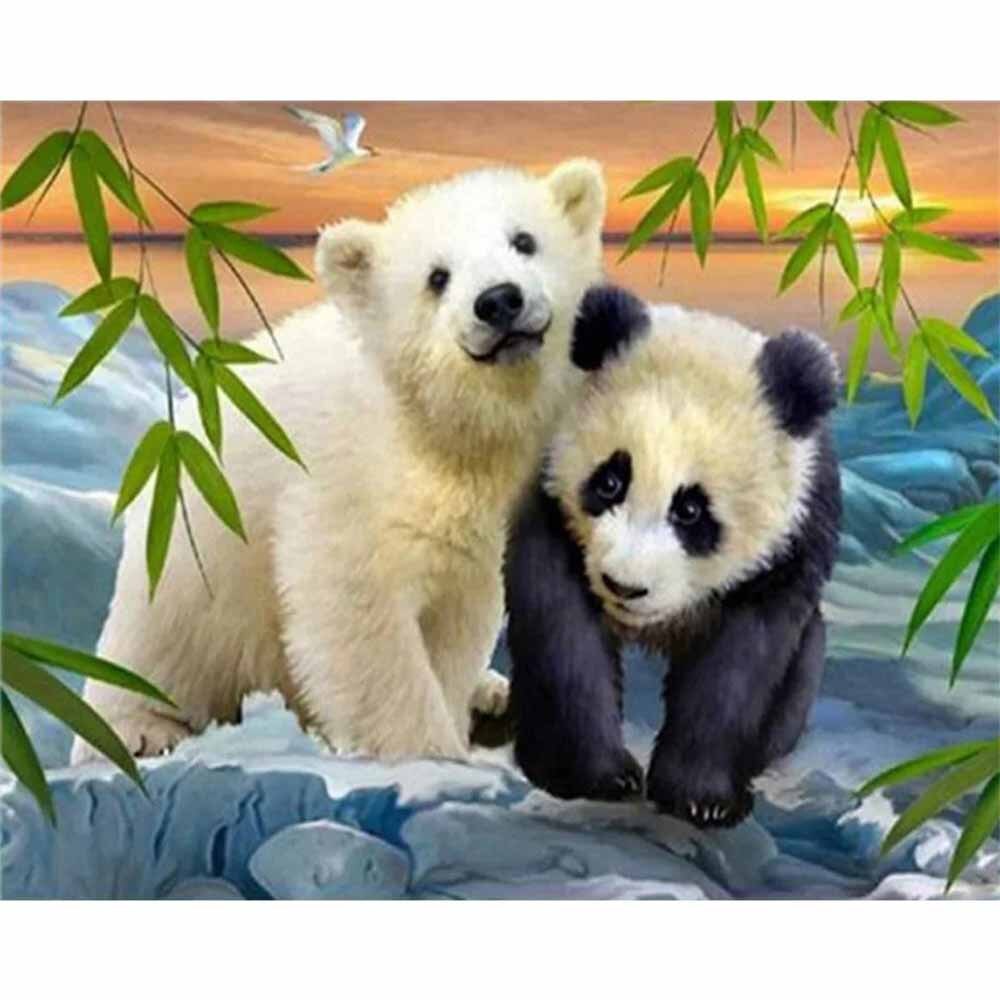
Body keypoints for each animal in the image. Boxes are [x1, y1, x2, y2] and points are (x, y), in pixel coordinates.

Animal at [504, 284, 842, 828]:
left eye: (691, 510)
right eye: (610, 481)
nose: (624, 586)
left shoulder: (791, 543)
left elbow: (740, 667)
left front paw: (700, 797)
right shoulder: (550, 505)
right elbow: (563, 633)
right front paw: (591, 775)